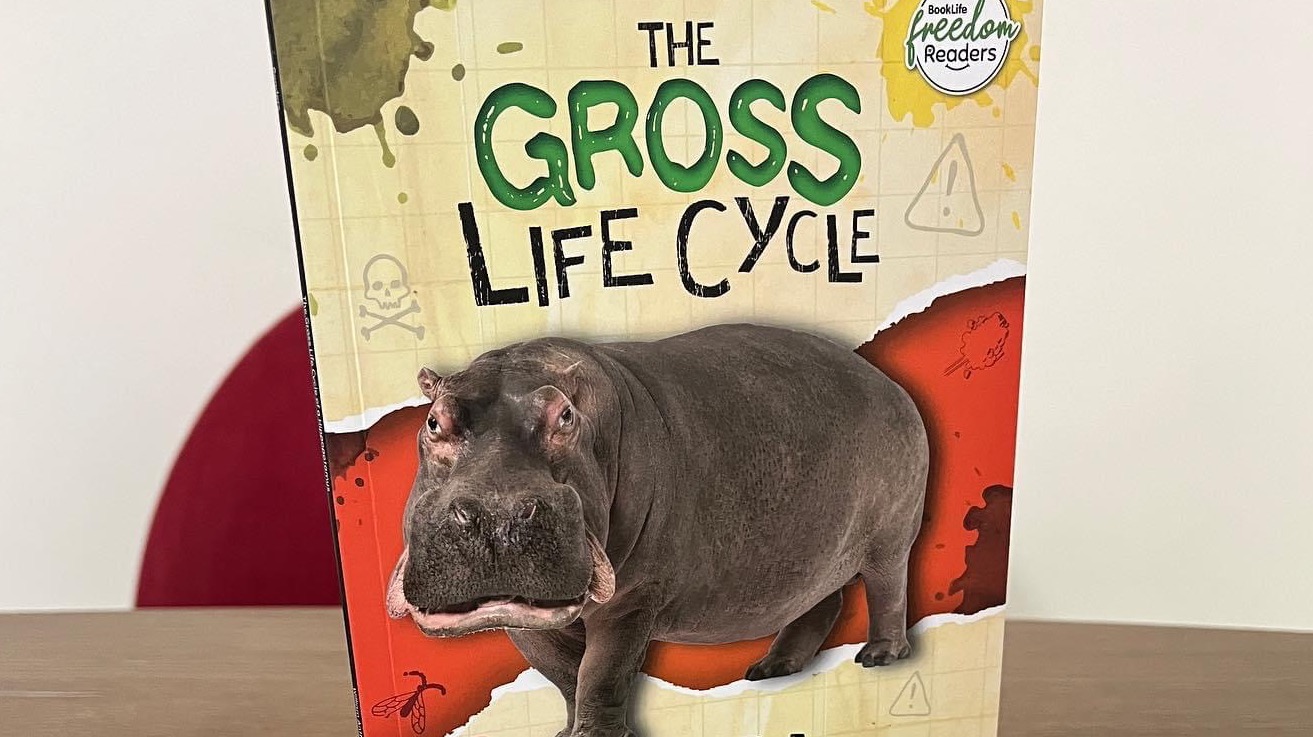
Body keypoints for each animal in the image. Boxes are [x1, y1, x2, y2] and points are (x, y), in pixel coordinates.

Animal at [386, 323, 929, 737]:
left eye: (565, 416)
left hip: (891, 535)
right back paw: (770, 669)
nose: (496, 515)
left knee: (888, 588)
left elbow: (602, 672)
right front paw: (566, 732)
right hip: (813, 551)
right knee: (819, 602)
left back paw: (879, 657)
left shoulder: (634, 597)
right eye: (433, 422)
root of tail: (887, 380)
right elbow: (566, 676)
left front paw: (596, 735)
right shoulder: (521, 619)